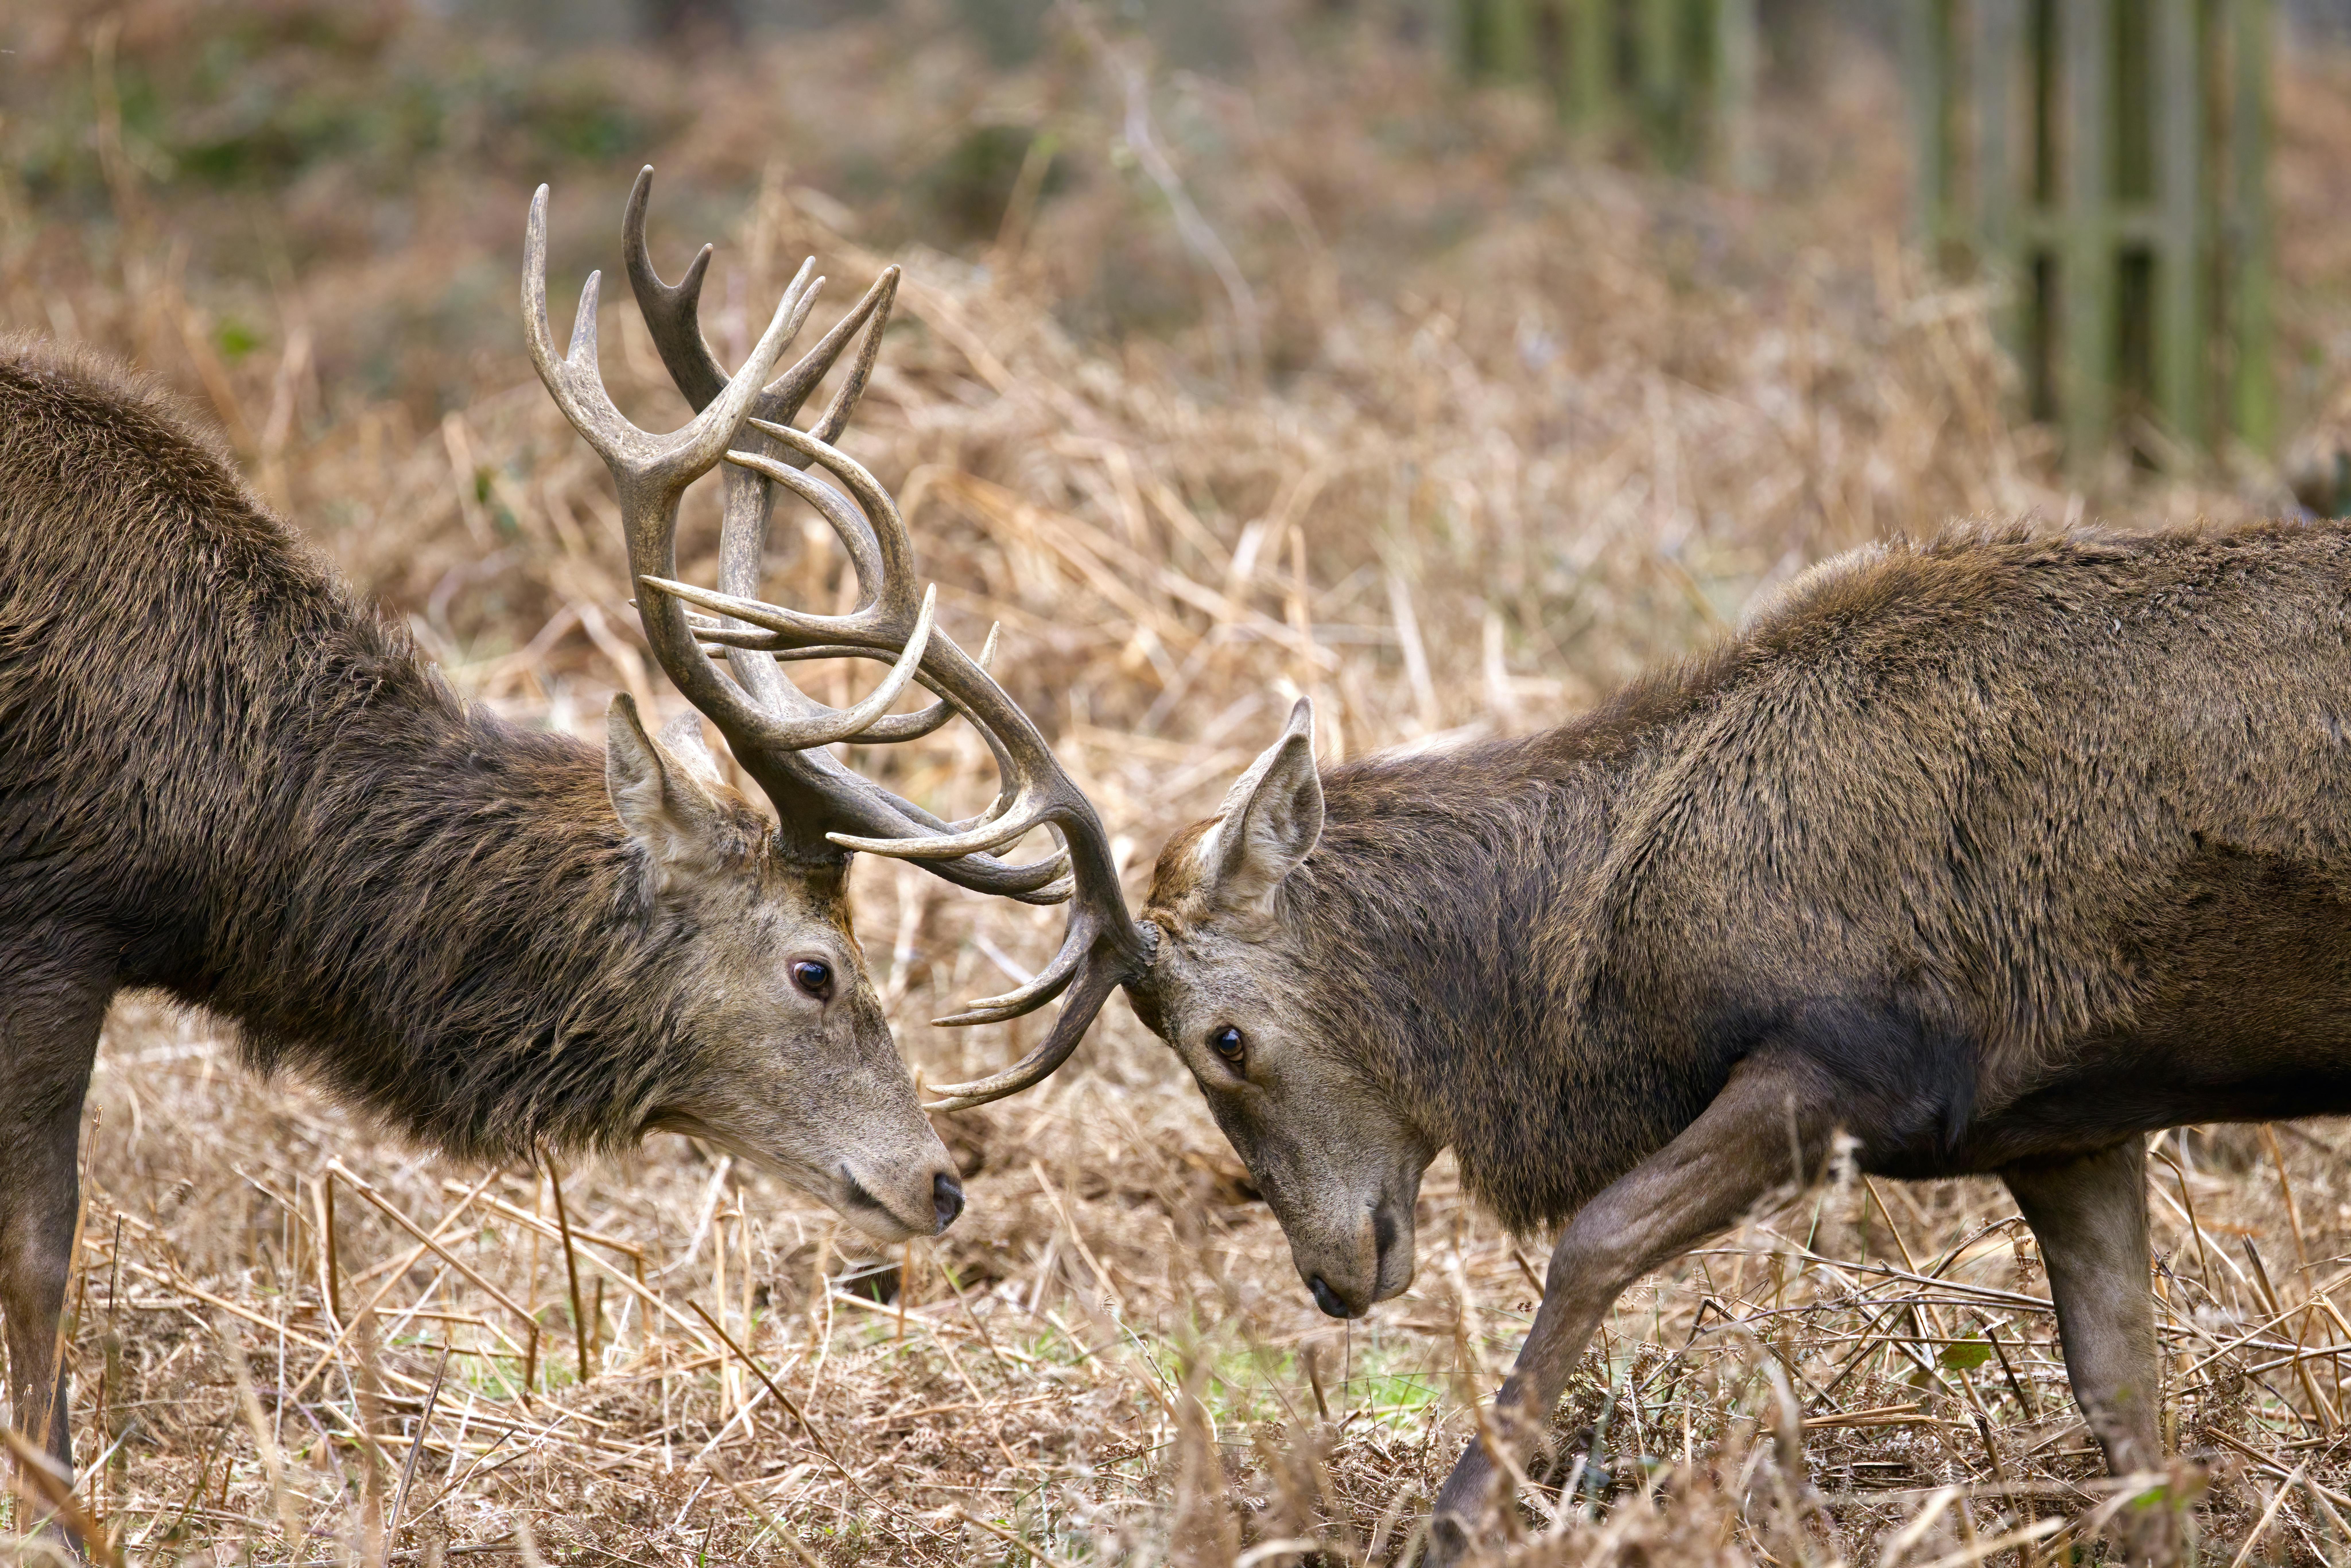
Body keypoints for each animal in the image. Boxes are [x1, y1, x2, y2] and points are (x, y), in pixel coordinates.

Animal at [0, 169, 1128, 1526]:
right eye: (816, 968)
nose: (942, 1182)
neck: (217, 844)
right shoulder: (52, 919)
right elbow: (42, 1251)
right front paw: (61, 1517)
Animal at [888, 516, 2351, 1561]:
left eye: (1225, 1040)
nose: (1331, 1277)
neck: (1613, 967)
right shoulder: (2068, 1121)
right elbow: (2125, 1406)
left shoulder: (1862, 1059)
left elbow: (1591, 1240)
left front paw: (1462, 1514)